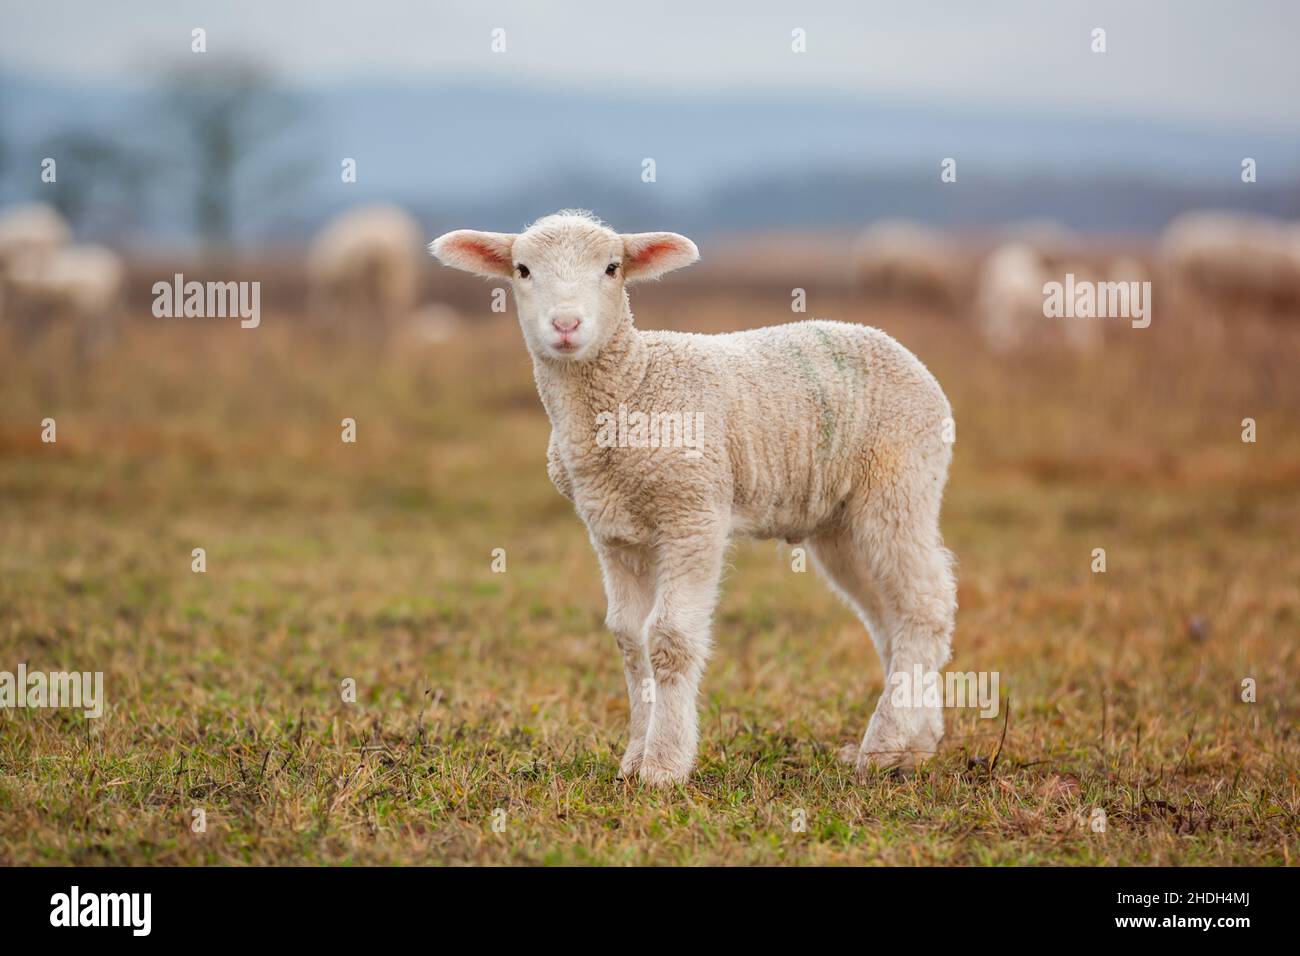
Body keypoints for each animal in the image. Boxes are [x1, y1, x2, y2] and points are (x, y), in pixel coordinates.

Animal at [308, 204, 425, 337]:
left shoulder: (352, 281)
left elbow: (354, 305)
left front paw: (353, 328)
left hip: (382, 271)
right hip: (397, 270)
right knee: (395, 298)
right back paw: (391, 327)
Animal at [431, 210, 957, 785]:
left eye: (612, 268)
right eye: (523, 270)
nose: (566, 325)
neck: (633, 386)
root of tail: (898, 349)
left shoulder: (693, 510)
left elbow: (670, 638)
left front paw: (664, 764)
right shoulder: (613, 531)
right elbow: (629, 639)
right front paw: (633, 756)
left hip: (900, 479)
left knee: (924, 605)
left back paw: (884, 745)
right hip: (838, 522)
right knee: (887, 617)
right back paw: (916, 743)